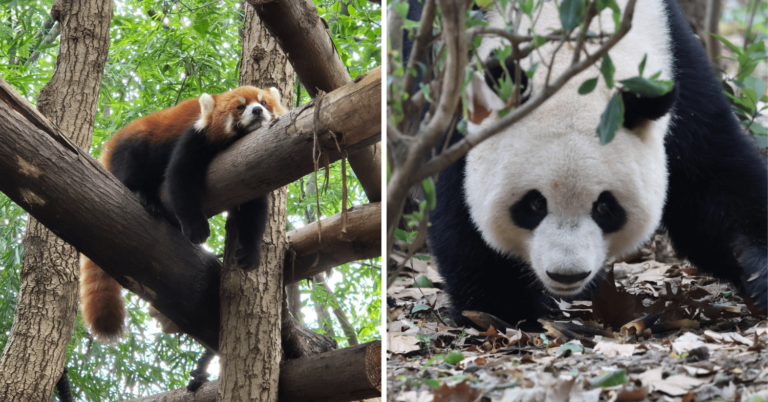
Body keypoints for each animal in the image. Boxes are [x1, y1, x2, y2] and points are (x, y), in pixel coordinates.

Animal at [410, 0, 768, 329]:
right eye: (534, 204)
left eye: (605, 207)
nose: (567, 275)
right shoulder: (457, 82)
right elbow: (457, 212)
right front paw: (502, 311)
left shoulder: (677, 64)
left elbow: (714, 182)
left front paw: (758, 273)